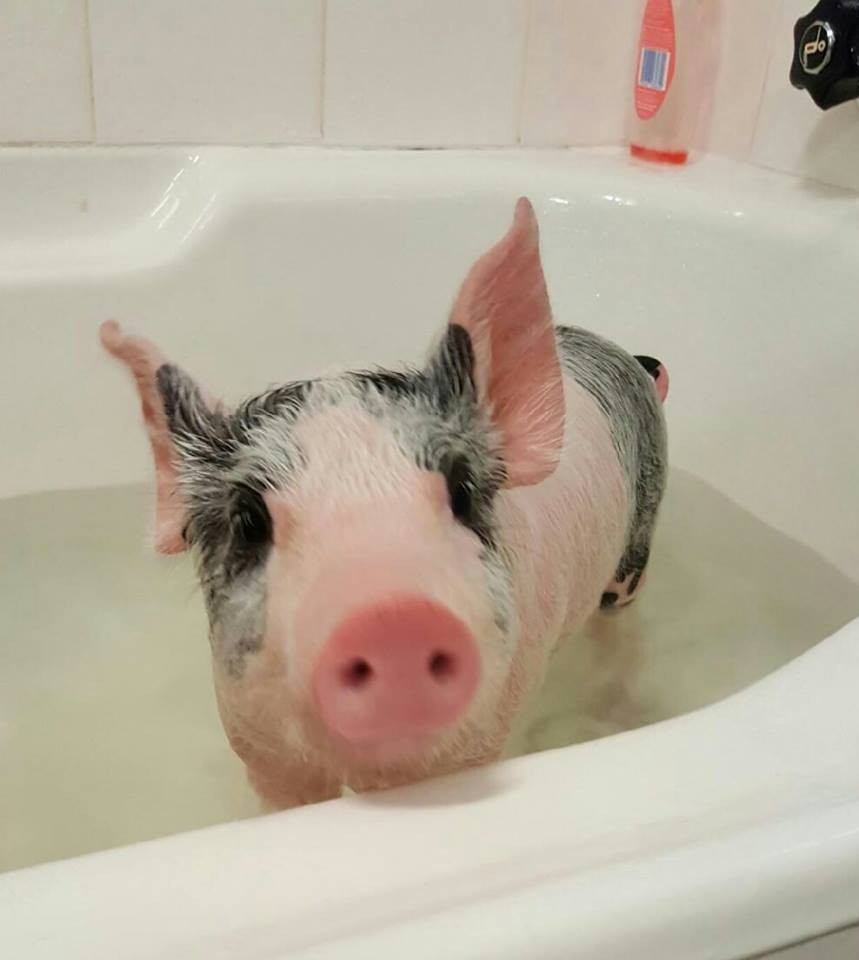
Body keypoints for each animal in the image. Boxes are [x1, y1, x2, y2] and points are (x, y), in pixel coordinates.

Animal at [100, 198, 668, 808]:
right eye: (249, 519)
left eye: (461, 491)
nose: (393, 618)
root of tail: (621, 354)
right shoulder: (261, 749)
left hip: (640, 531)